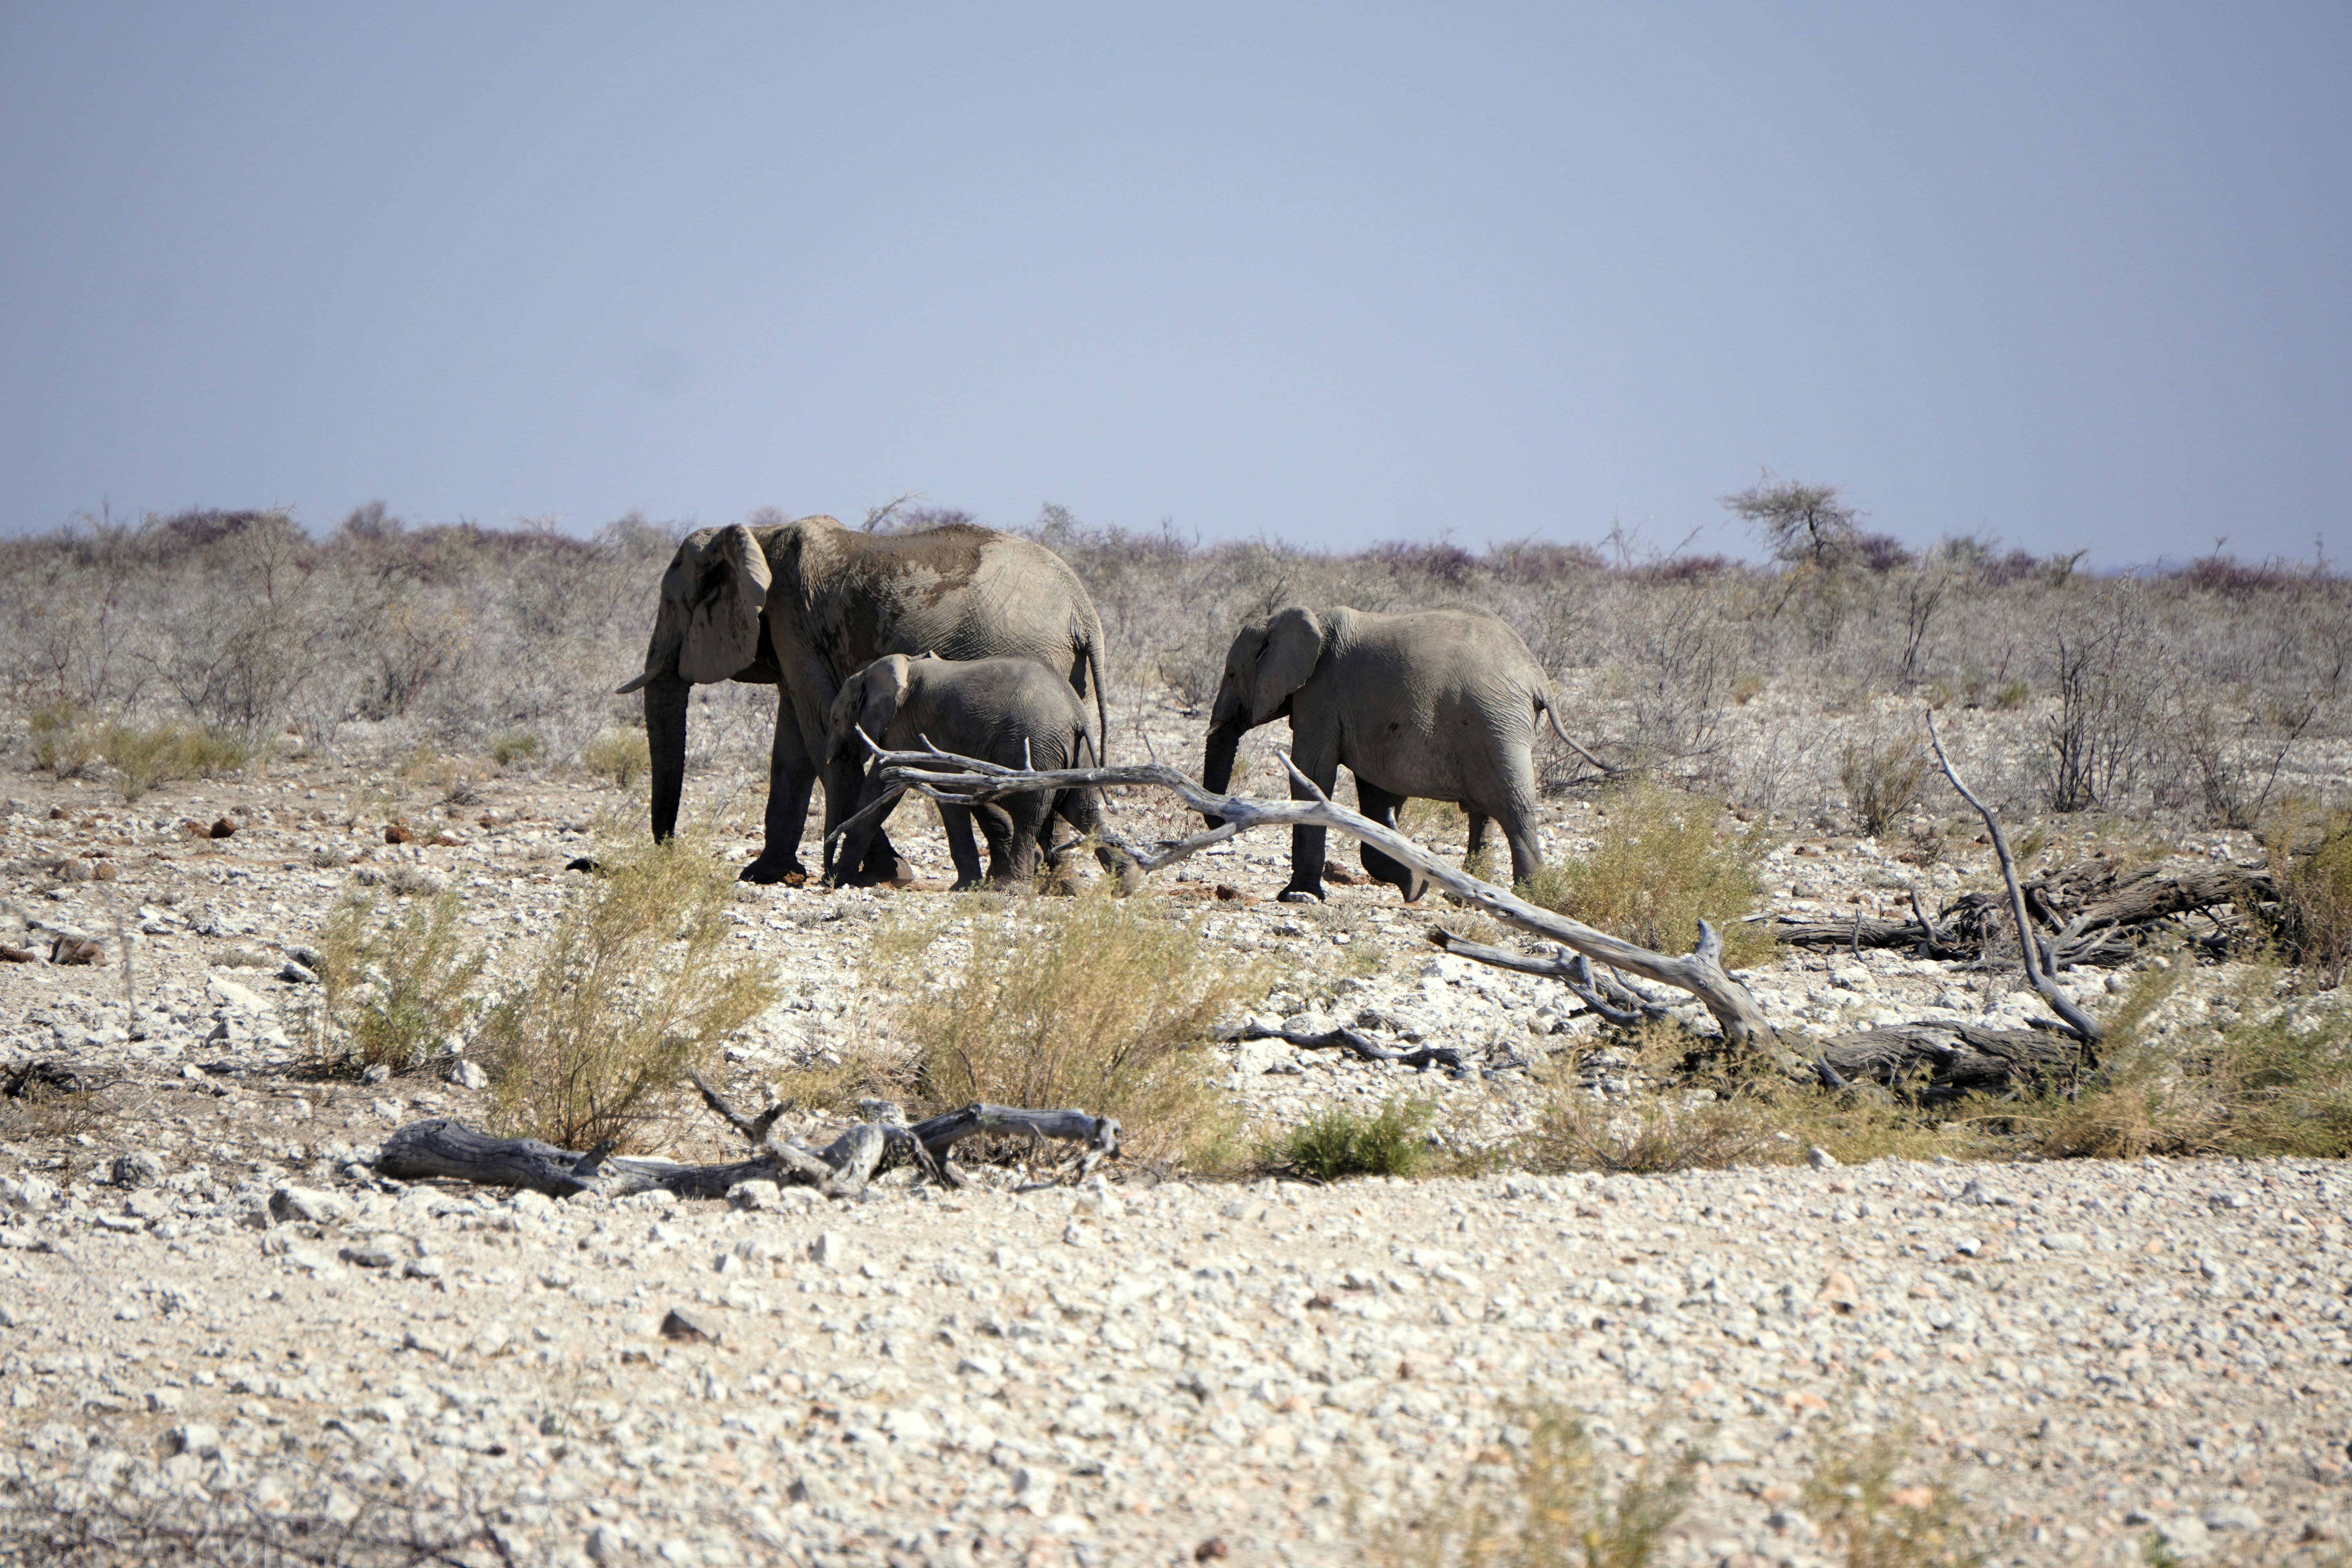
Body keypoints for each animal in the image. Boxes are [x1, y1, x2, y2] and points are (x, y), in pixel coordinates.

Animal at [618, 514, 1109, 884]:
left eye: (671, 603)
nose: (669, 855)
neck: (760, 535)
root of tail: (1084, 607)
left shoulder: (793, 619)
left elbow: (821, 740)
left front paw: (880, 873)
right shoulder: (792, 635)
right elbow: (793, 748)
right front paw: (767, 875)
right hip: (1071, 678)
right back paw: (1057, 884)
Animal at [824, 653, 1143, 893]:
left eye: (836, 719)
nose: (827, 878)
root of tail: (1077, 712)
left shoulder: (907, 731)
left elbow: (883, 788)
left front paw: (843, 879)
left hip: (1035, 748)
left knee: (1030, 813)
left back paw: (1011, 889)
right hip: (1074, 754)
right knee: (1082, 811)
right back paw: (1112, 885)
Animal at [1199, 604, 1574, 903]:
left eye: (1232, 673)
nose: (1222, 819)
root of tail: (1538, 677)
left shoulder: (1322, 694)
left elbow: (1313, 773)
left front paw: (1297, 896)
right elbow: (1377, 796)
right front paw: (1416, 883)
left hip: (1497, 722)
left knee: (1514, 809)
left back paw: (1532, 899)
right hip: (1497, 724)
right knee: (1486, 813)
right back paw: (1471, 897)